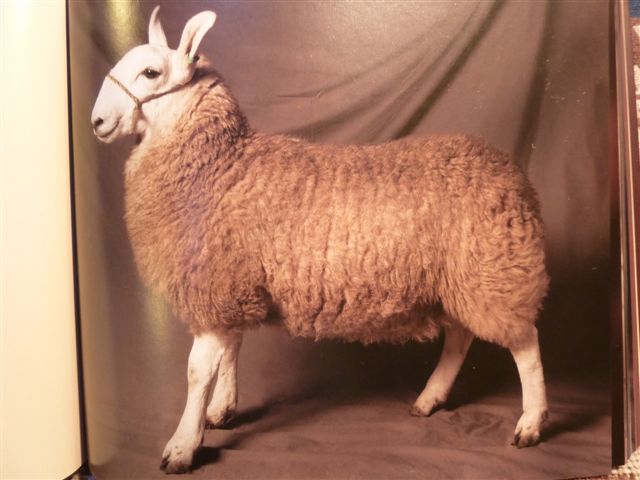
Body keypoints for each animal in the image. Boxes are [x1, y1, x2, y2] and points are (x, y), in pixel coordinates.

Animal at [91, 6, 550, 475]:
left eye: (150, 72)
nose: (97, 122)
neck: (222, 165)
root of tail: (515, 176)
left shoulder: (217, 285)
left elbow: (198, 371)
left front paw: (183, 446)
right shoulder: (233, 285)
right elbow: (231, 351)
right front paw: (221, 411)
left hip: (496, 269)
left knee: (525, 344)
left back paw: (531, 423)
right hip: (458, 278)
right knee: (460, 337)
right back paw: (429, 399)